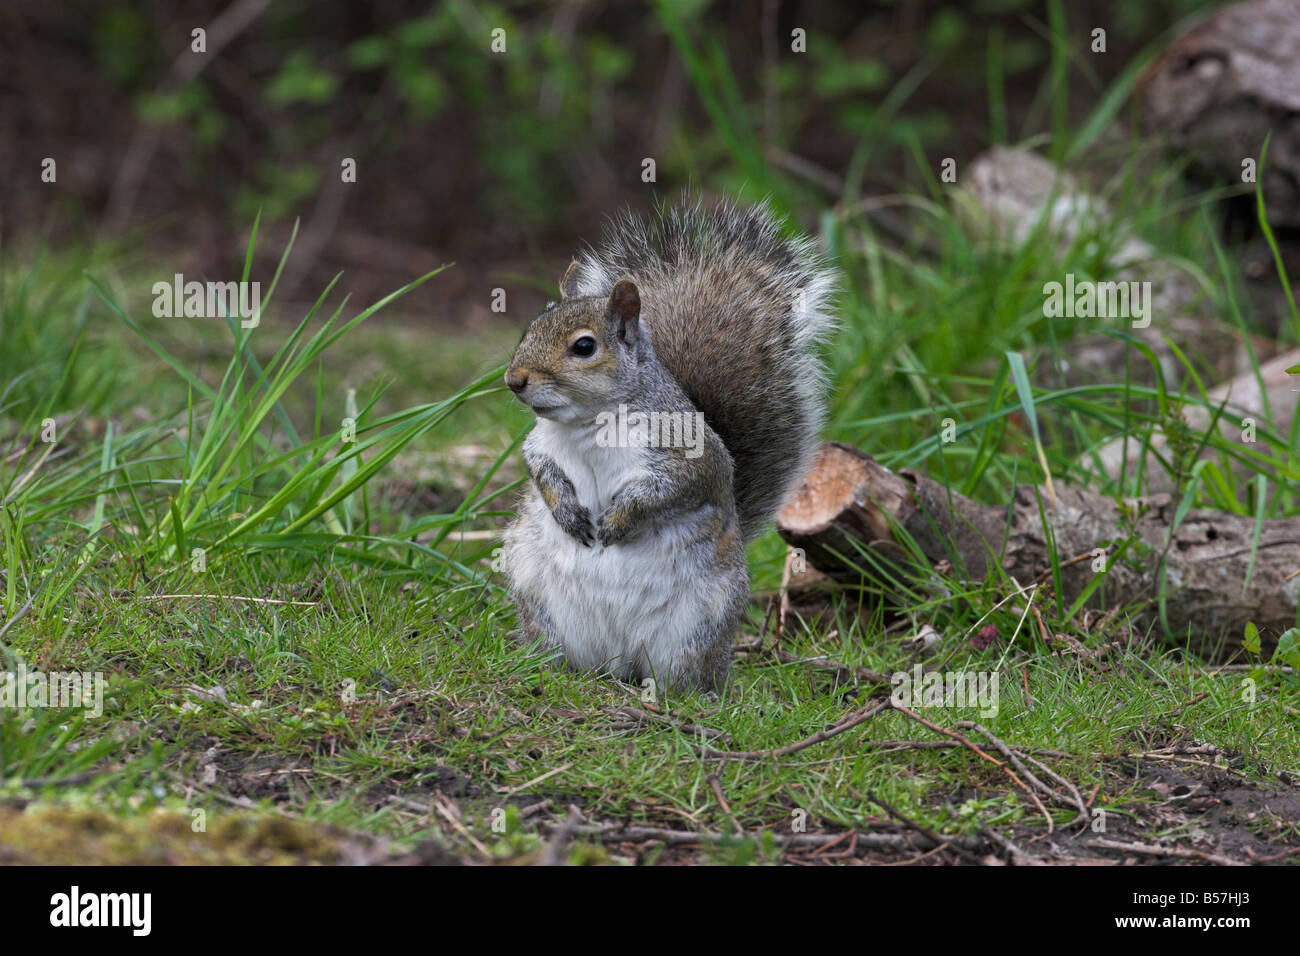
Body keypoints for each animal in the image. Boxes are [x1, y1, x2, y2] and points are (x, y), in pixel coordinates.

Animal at [500, 196, 836, 693]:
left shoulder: (688, 455)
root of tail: (617, 661)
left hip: (696, 626)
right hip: (541, 604)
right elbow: (539, 468)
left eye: (584, 346)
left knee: (685, 674)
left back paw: (675, 694)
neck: (587, 425)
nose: (514, 379)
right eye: (529, 329)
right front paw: (568, 512)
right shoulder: (542, 444)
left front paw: (617, 521)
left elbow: (668, 490)